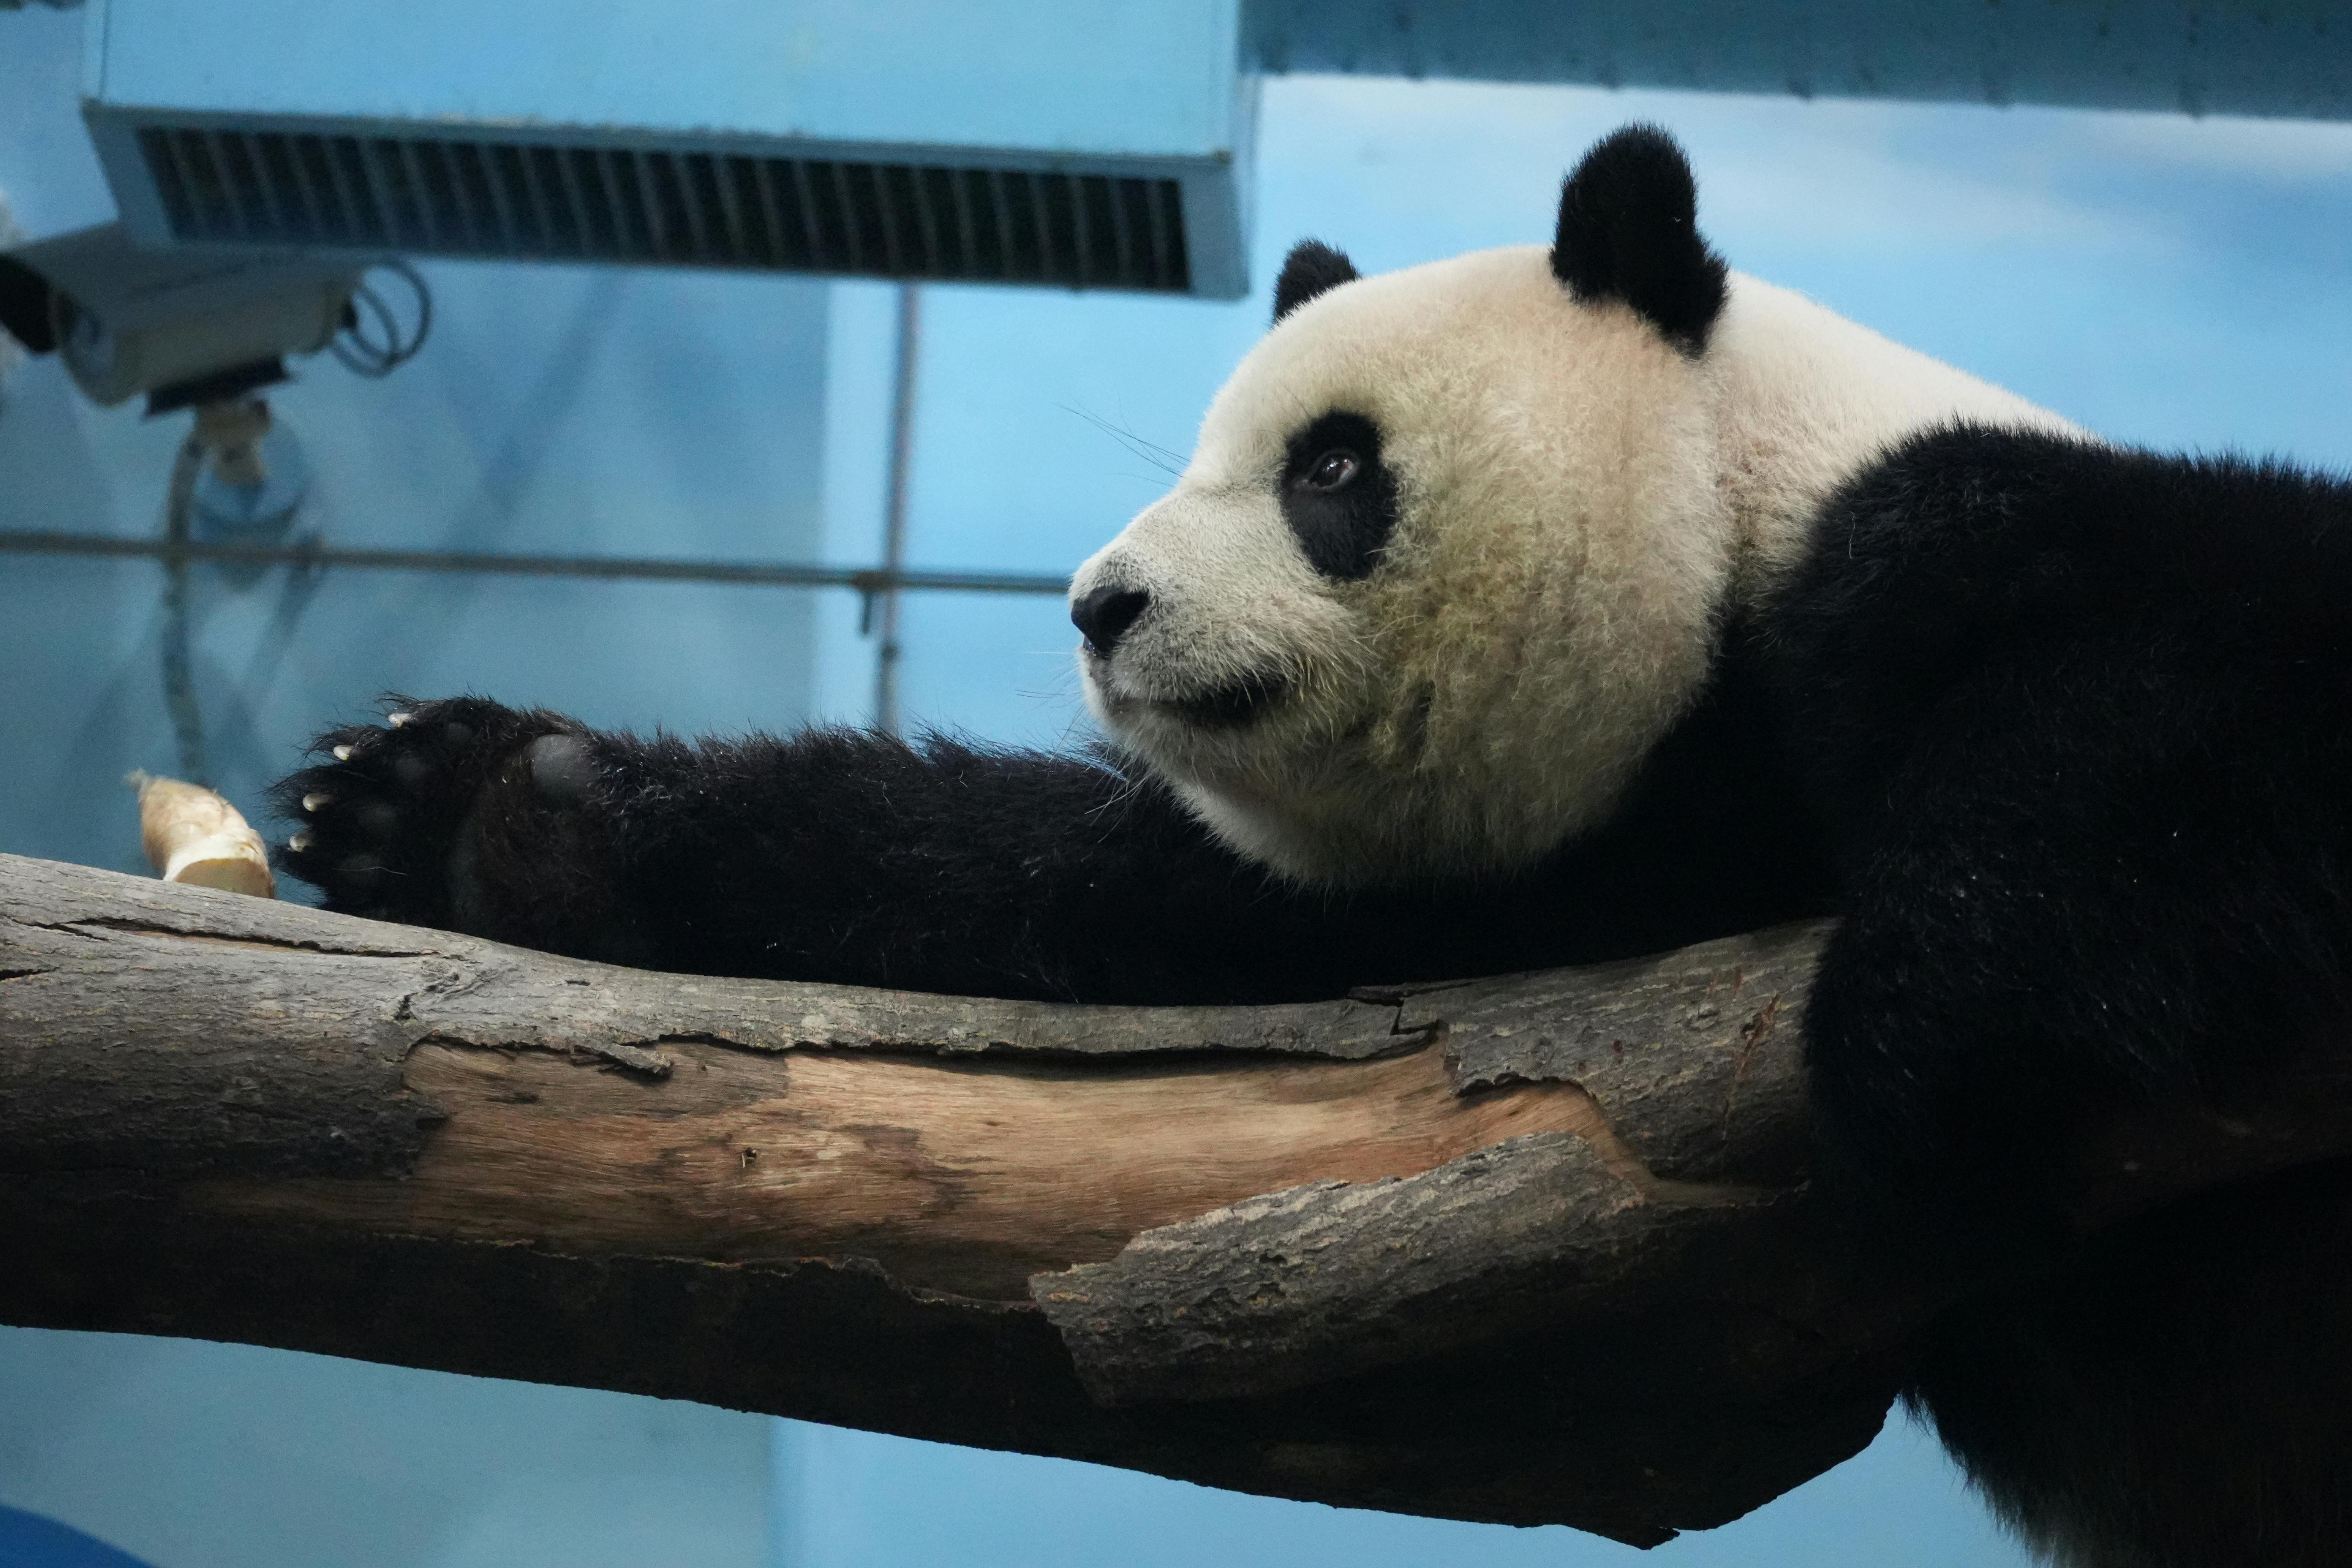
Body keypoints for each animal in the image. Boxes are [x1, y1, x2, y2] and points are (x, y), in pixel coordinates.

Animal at [278, 126, 2352, 1567]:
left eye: (1331, 468)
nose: (1099, 608)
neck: (1734, 517)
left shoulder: (1924, 548)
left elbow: (2198, 700)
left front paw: (1926, 1038)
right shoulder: (1511, 870)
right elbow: (1067, 905)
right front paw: (459, 807)